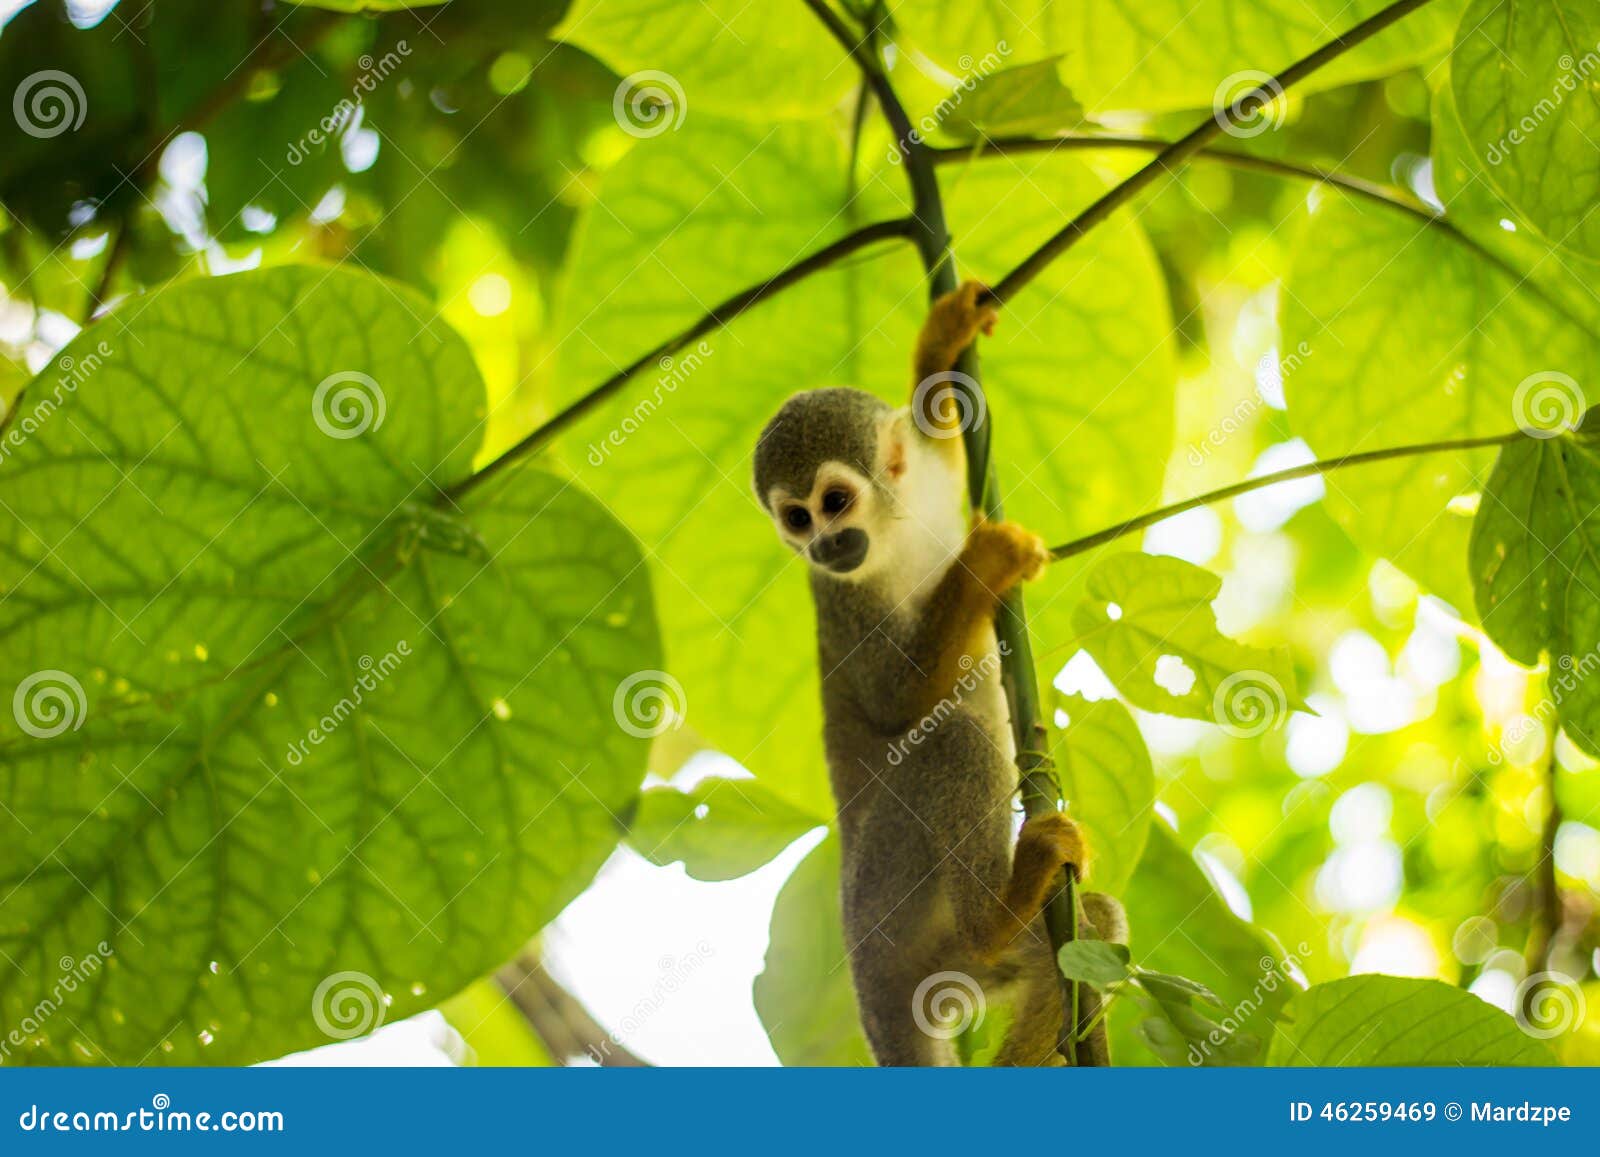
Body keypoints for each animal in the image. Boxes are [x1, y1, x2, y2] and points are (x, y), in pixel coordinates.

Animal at [753, 280, 1125, 1066]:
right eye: (795, 520)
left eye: (832, 502)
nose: (825, 545)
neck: (891, 532)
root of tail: (865, 979)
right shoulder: (842, 597)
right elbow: (898, 703)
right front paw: (987, 562)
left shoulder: (923, 488)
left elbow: (947, 459)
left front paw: (939, 345)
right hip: (882, 894)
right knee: (951, 738)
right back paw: (998, 911)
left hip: (942, 964)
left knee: (1093, 927)